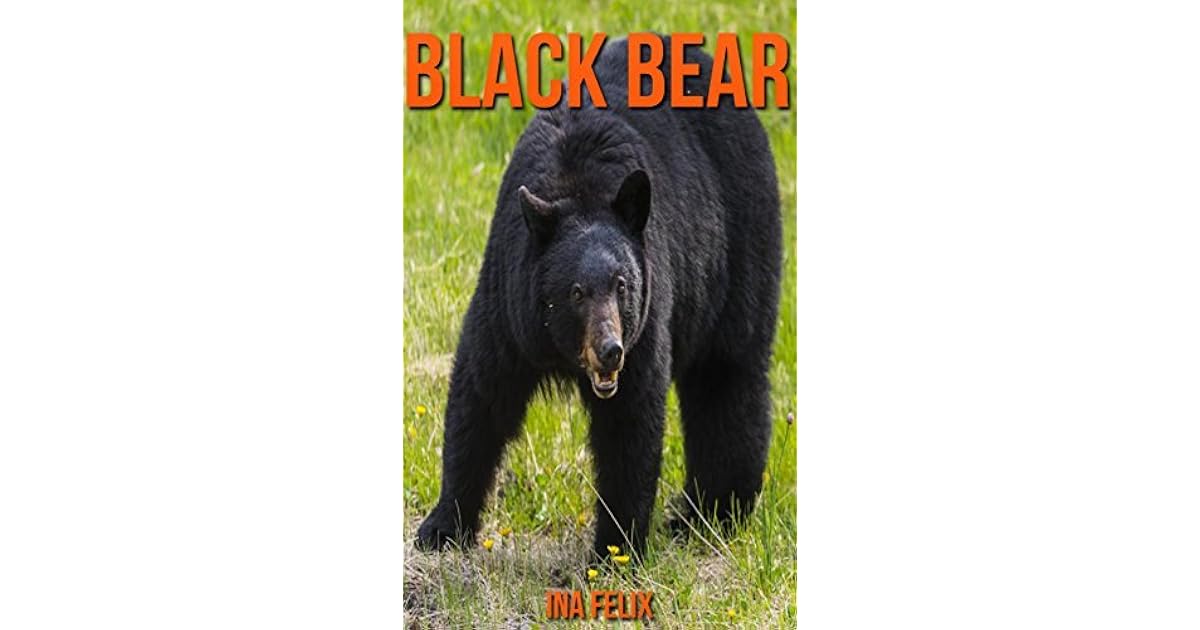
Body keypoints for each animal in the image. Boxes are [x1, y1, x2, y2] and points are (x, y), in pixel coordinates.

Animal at [415, 35, 782, 561]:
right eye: (574, 292)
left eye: (622, 284)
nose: (610, 349)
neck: (576, 187)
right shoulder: (508, 298)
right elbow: (480, 397)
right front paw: (442, 527)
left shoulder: (647, 316)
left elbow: (629, 425)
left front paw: (615, 551)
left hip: (739, 243)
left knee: (728, 376)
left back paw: (709, 514)